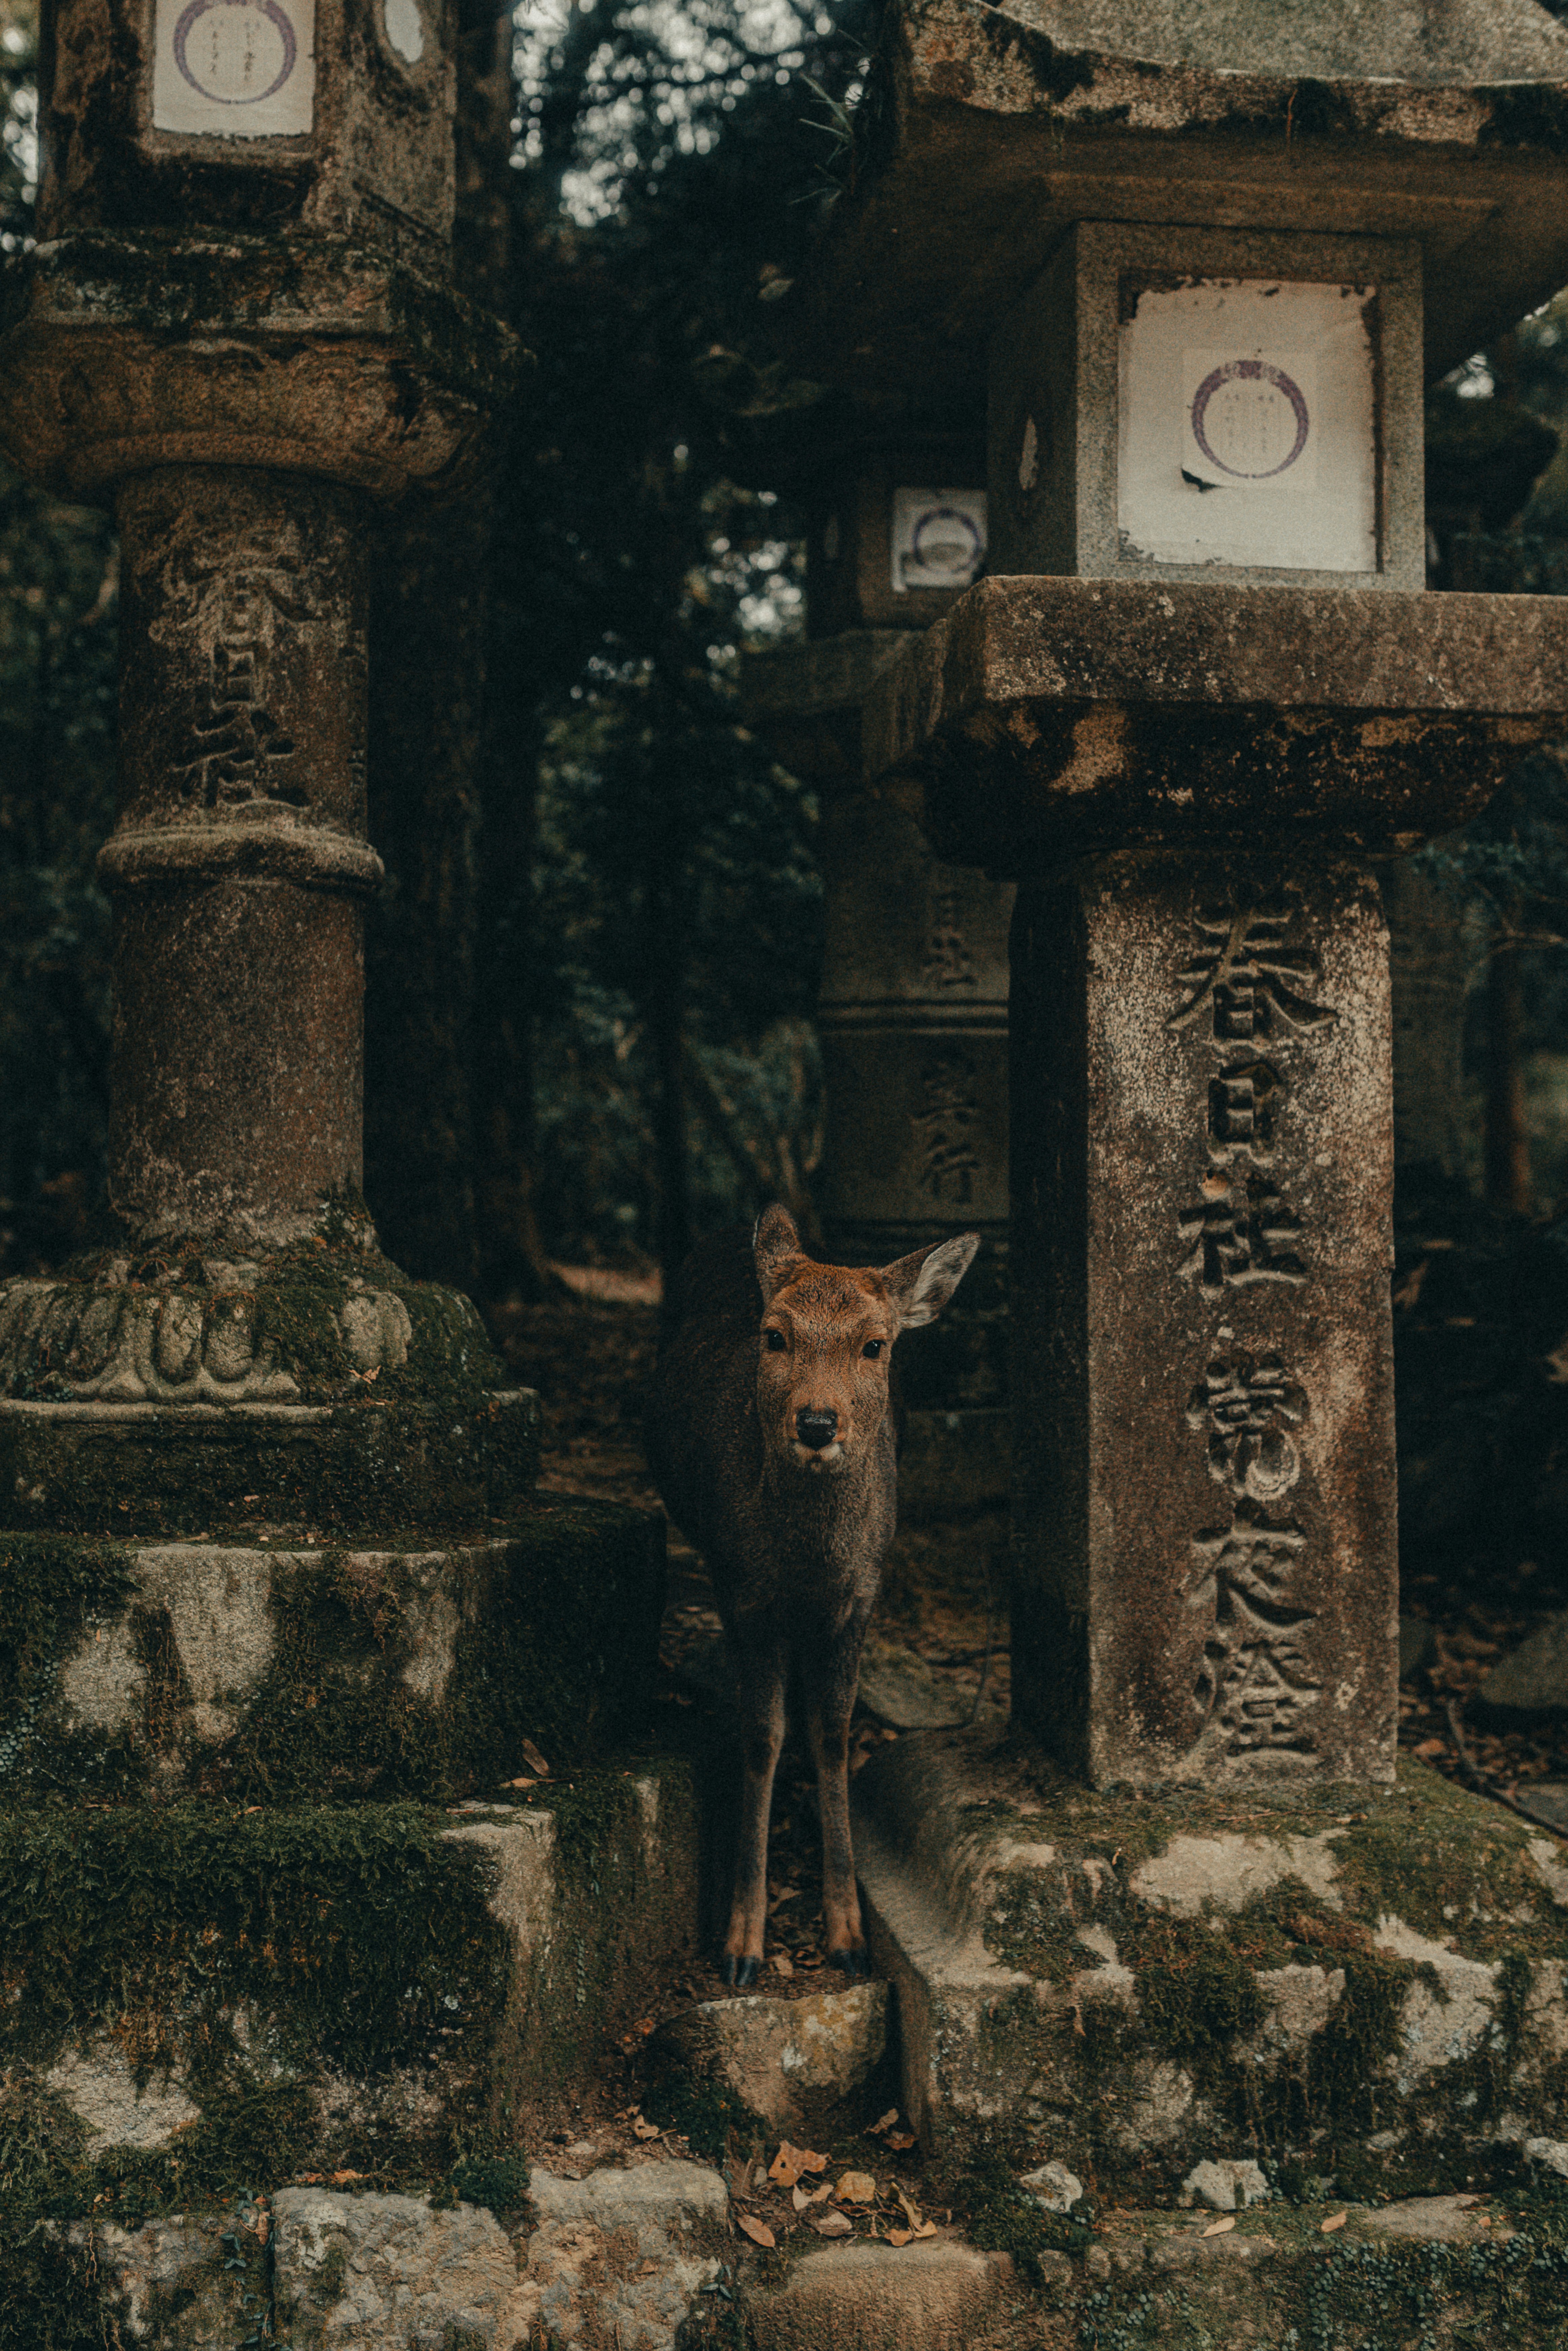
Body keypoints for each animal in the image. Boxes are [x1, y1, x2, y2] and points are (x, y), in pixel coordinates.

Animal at [645, 1202, 979, 1985]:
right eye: (775, 1335)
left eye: (874, 1345)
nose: (818, 1423)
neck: (806, 1568)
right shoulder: (743, 1593)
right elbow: (761, 1737)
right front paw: (741, 1944)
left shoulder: (859, 1598)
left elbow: (833, 1734)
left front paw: (849, 1934)